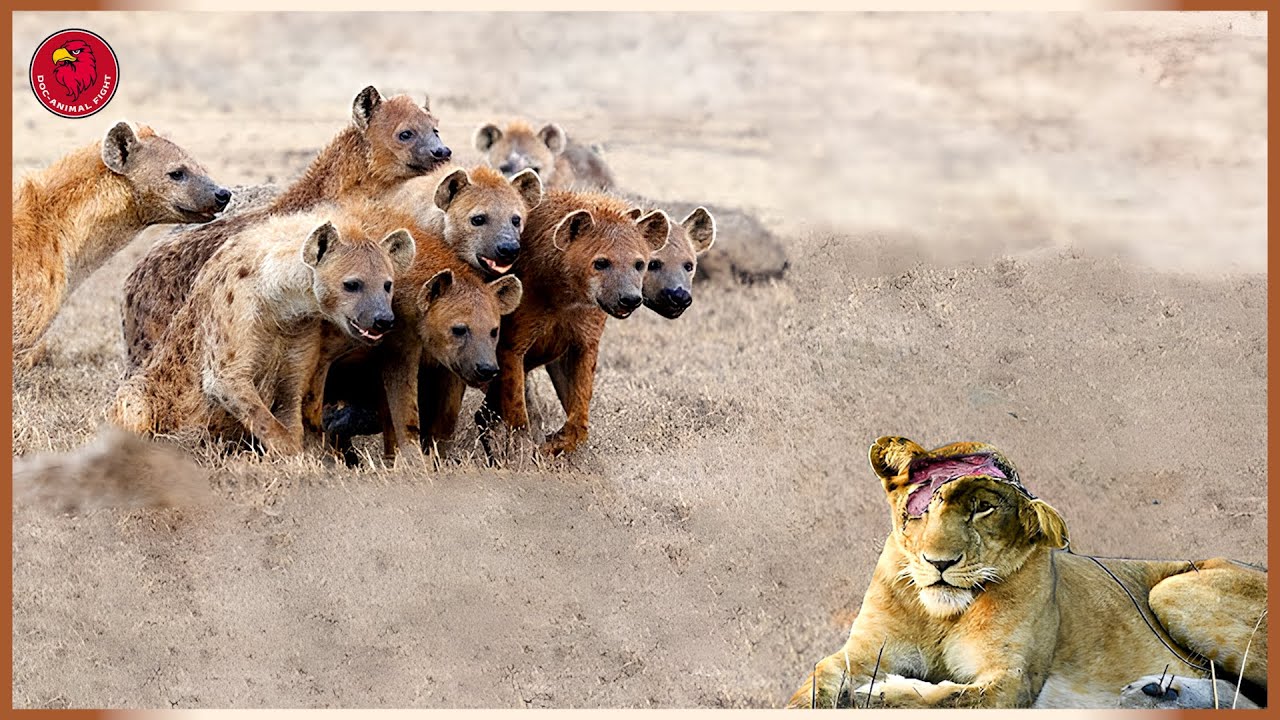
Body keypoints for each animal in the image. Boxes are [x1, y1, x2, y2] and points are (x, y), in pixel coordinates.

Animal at [786, 436, 1267, 709]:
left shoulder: (1011, 679)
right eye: (921, 506)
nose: (939, 563)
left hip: (1171, 591)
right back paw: (1159, 694)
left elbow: (951, 699)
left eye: (983, 507)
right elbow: (814, 684)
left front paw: (880, 693)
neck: (941, 614)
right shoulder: (860, 651)